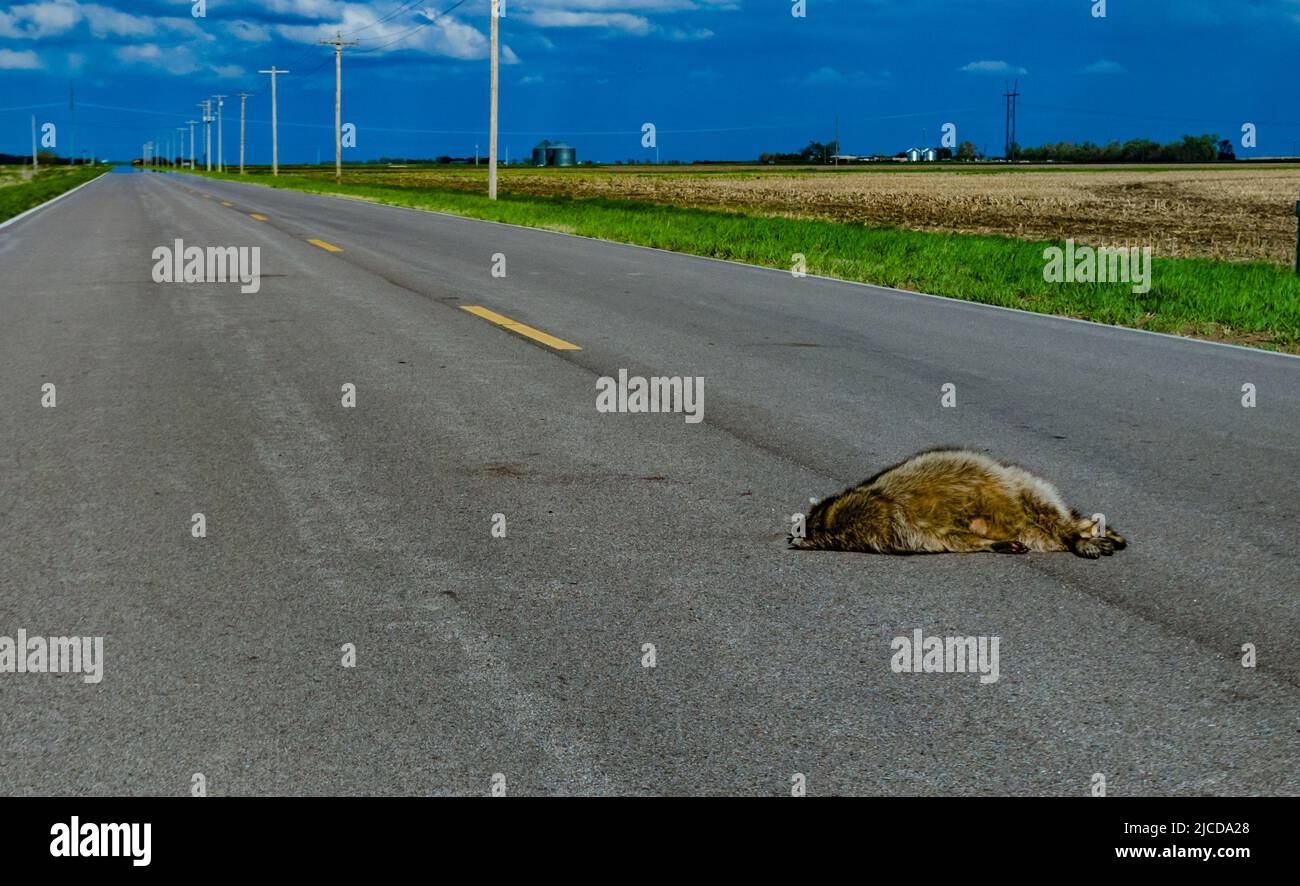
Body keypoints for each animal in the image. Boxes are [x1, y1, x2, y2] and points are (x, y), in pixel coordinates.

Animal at [790, 448, 1127, 558]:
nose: (793, 533)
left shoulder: (874, 513)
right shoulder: (903, 533)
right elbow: (947, 540)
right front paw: (993, 544)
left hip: (1022, 488)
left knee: (1058, 519)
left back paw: (1083, 536)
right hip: (1035, 530)